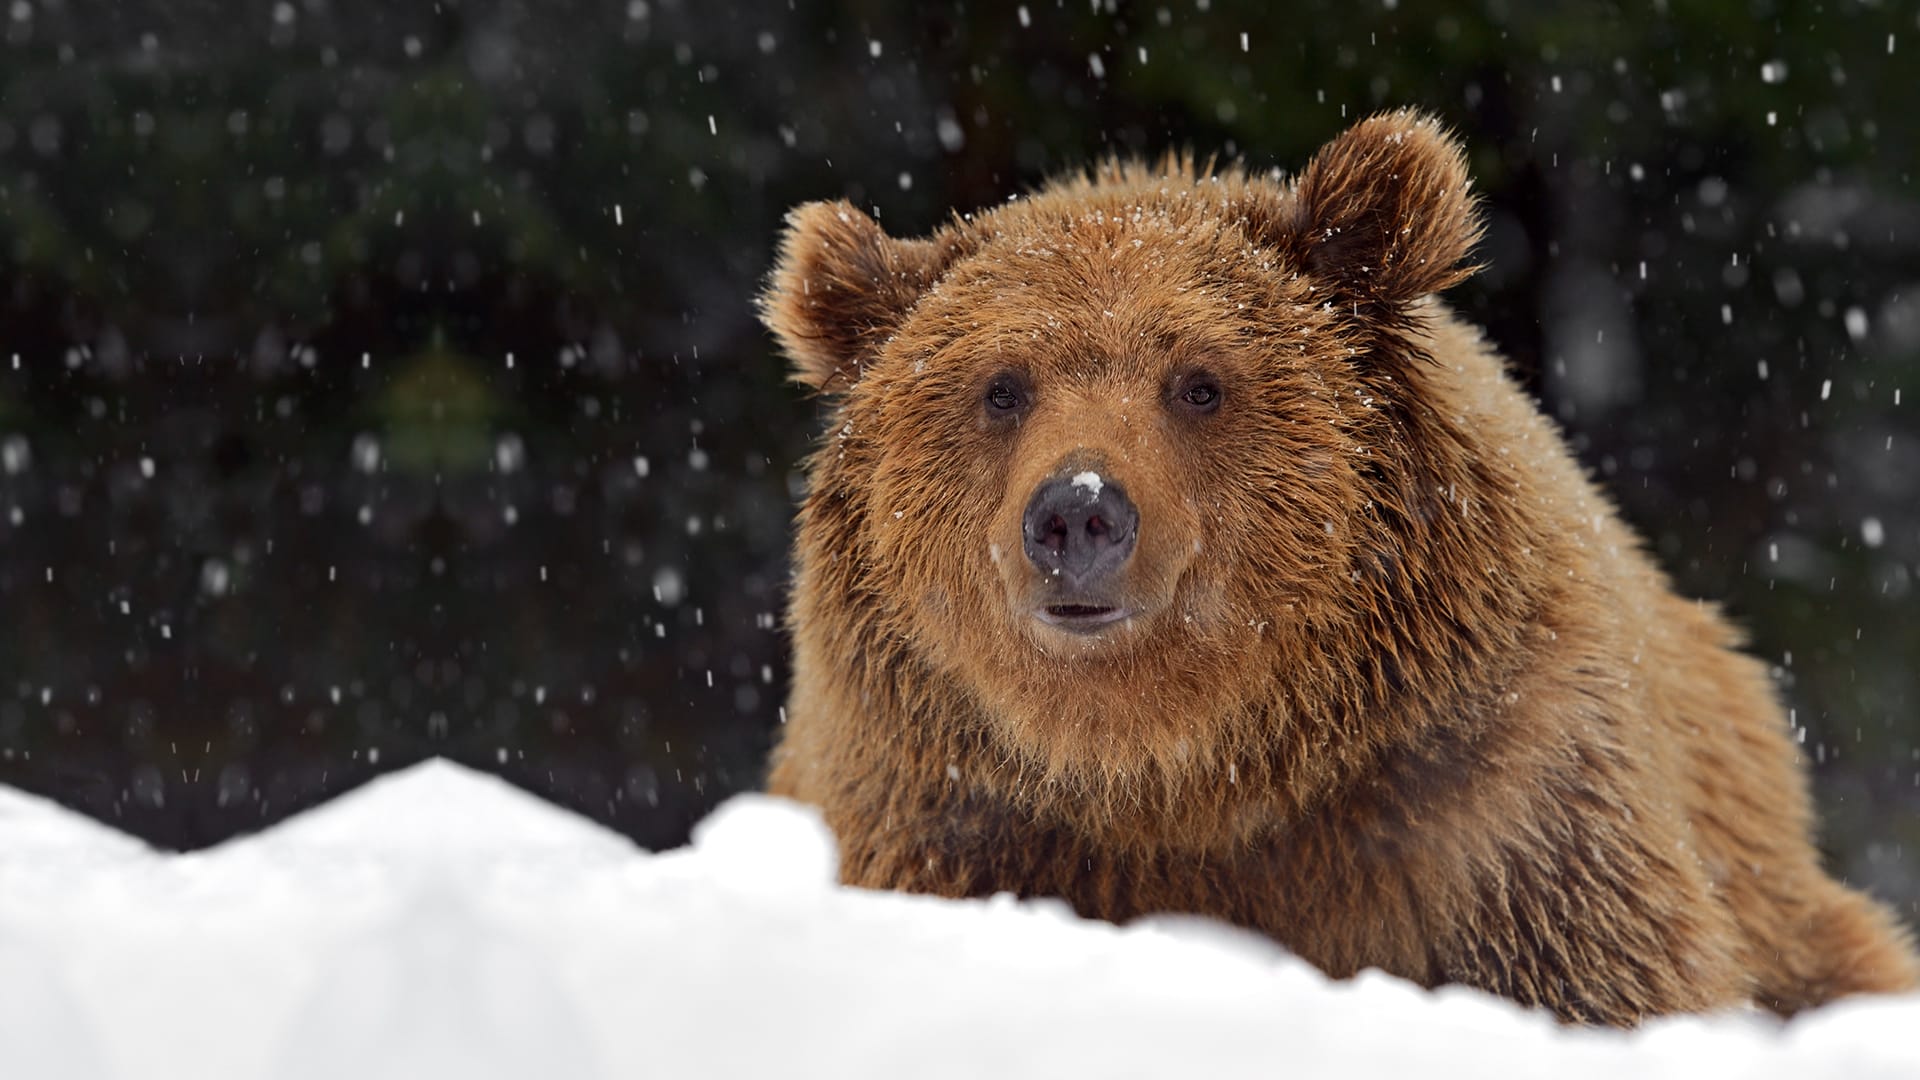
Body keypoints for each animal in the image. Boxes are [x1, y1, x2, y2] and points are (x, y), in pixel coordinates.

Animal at [758, 110, 1919, 1025]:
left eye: (1200, 381)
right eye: (1001, 386)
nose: (1078, 511)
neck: (1180, 779)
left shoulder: (1498, 826)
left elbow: (1598, 972)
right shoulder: (945, 828)